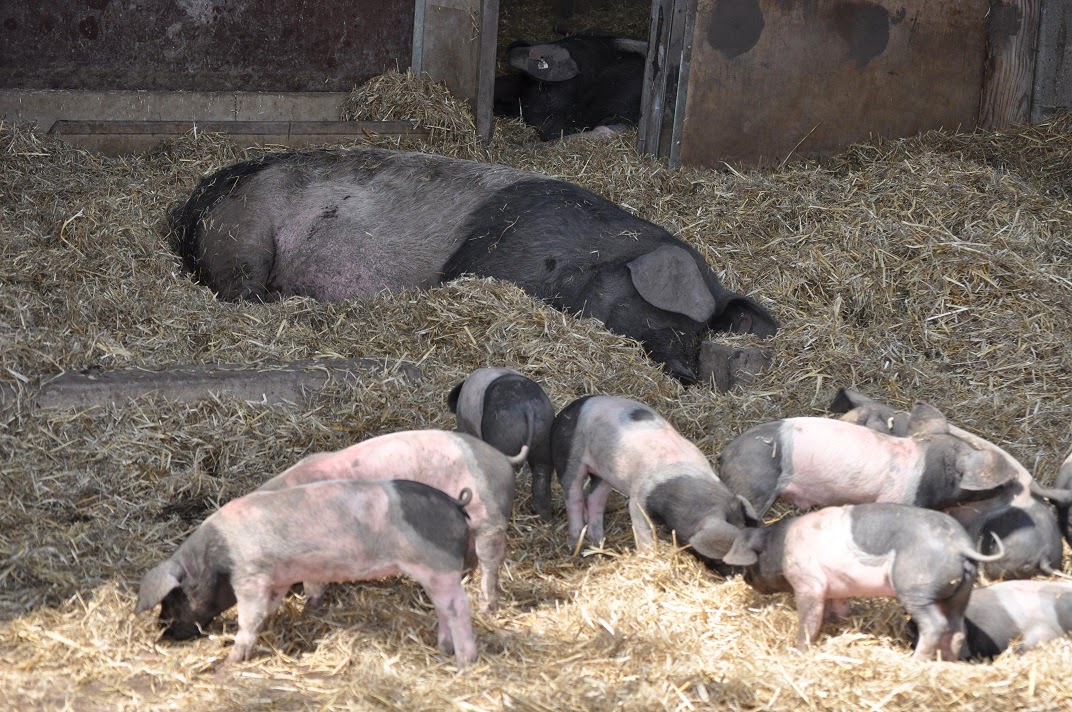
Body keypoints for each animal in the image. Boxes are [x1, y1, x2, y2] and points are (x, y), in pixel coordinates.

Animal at [135, 479, 478, 665]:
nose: (164, 632)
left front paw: (230, 659)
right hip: (434, 573)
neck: (216, 558)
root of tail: (455, 503)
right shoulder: (276, 579)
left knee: (459, 607)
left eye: (173, 598)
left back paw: (464, 662)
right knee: (444, 609)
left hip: (439, 565)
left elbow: (250, 618)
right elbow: (268, 610)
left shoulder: (251, 575)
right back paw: (443, 649)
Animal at [170, 148, 778, 383]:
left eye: (705, 328)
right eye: (664, 314)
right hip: (246, 236)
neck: (587, 263)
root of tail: (194, 204)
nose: (687, 372)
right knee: (240, 292)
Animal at [550, 395, 758, 560]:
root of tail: (564, 411)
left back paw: (598, 542)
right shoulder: (639, 498)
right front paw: (649, 556)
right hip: (570, 457)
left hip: (604, 471)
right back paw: (576, 545)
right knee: (574, 497)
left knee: (595, 500)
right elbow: (643, 529)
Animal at [716, 502, 1004, 660]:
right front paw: (836, 626)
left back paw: (915, 661)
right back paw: (945, 662)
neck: (781, 544)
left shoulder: (809, 583)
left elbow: (808, 620)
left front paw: (796, 651)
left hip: (916, 588)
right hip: (960, 593)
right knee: (957, 629)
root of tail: (960, 546)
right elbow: (837, 610)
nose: (746, 580)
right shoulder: (838, 587)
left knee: (936, 626)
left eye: (751, 564)